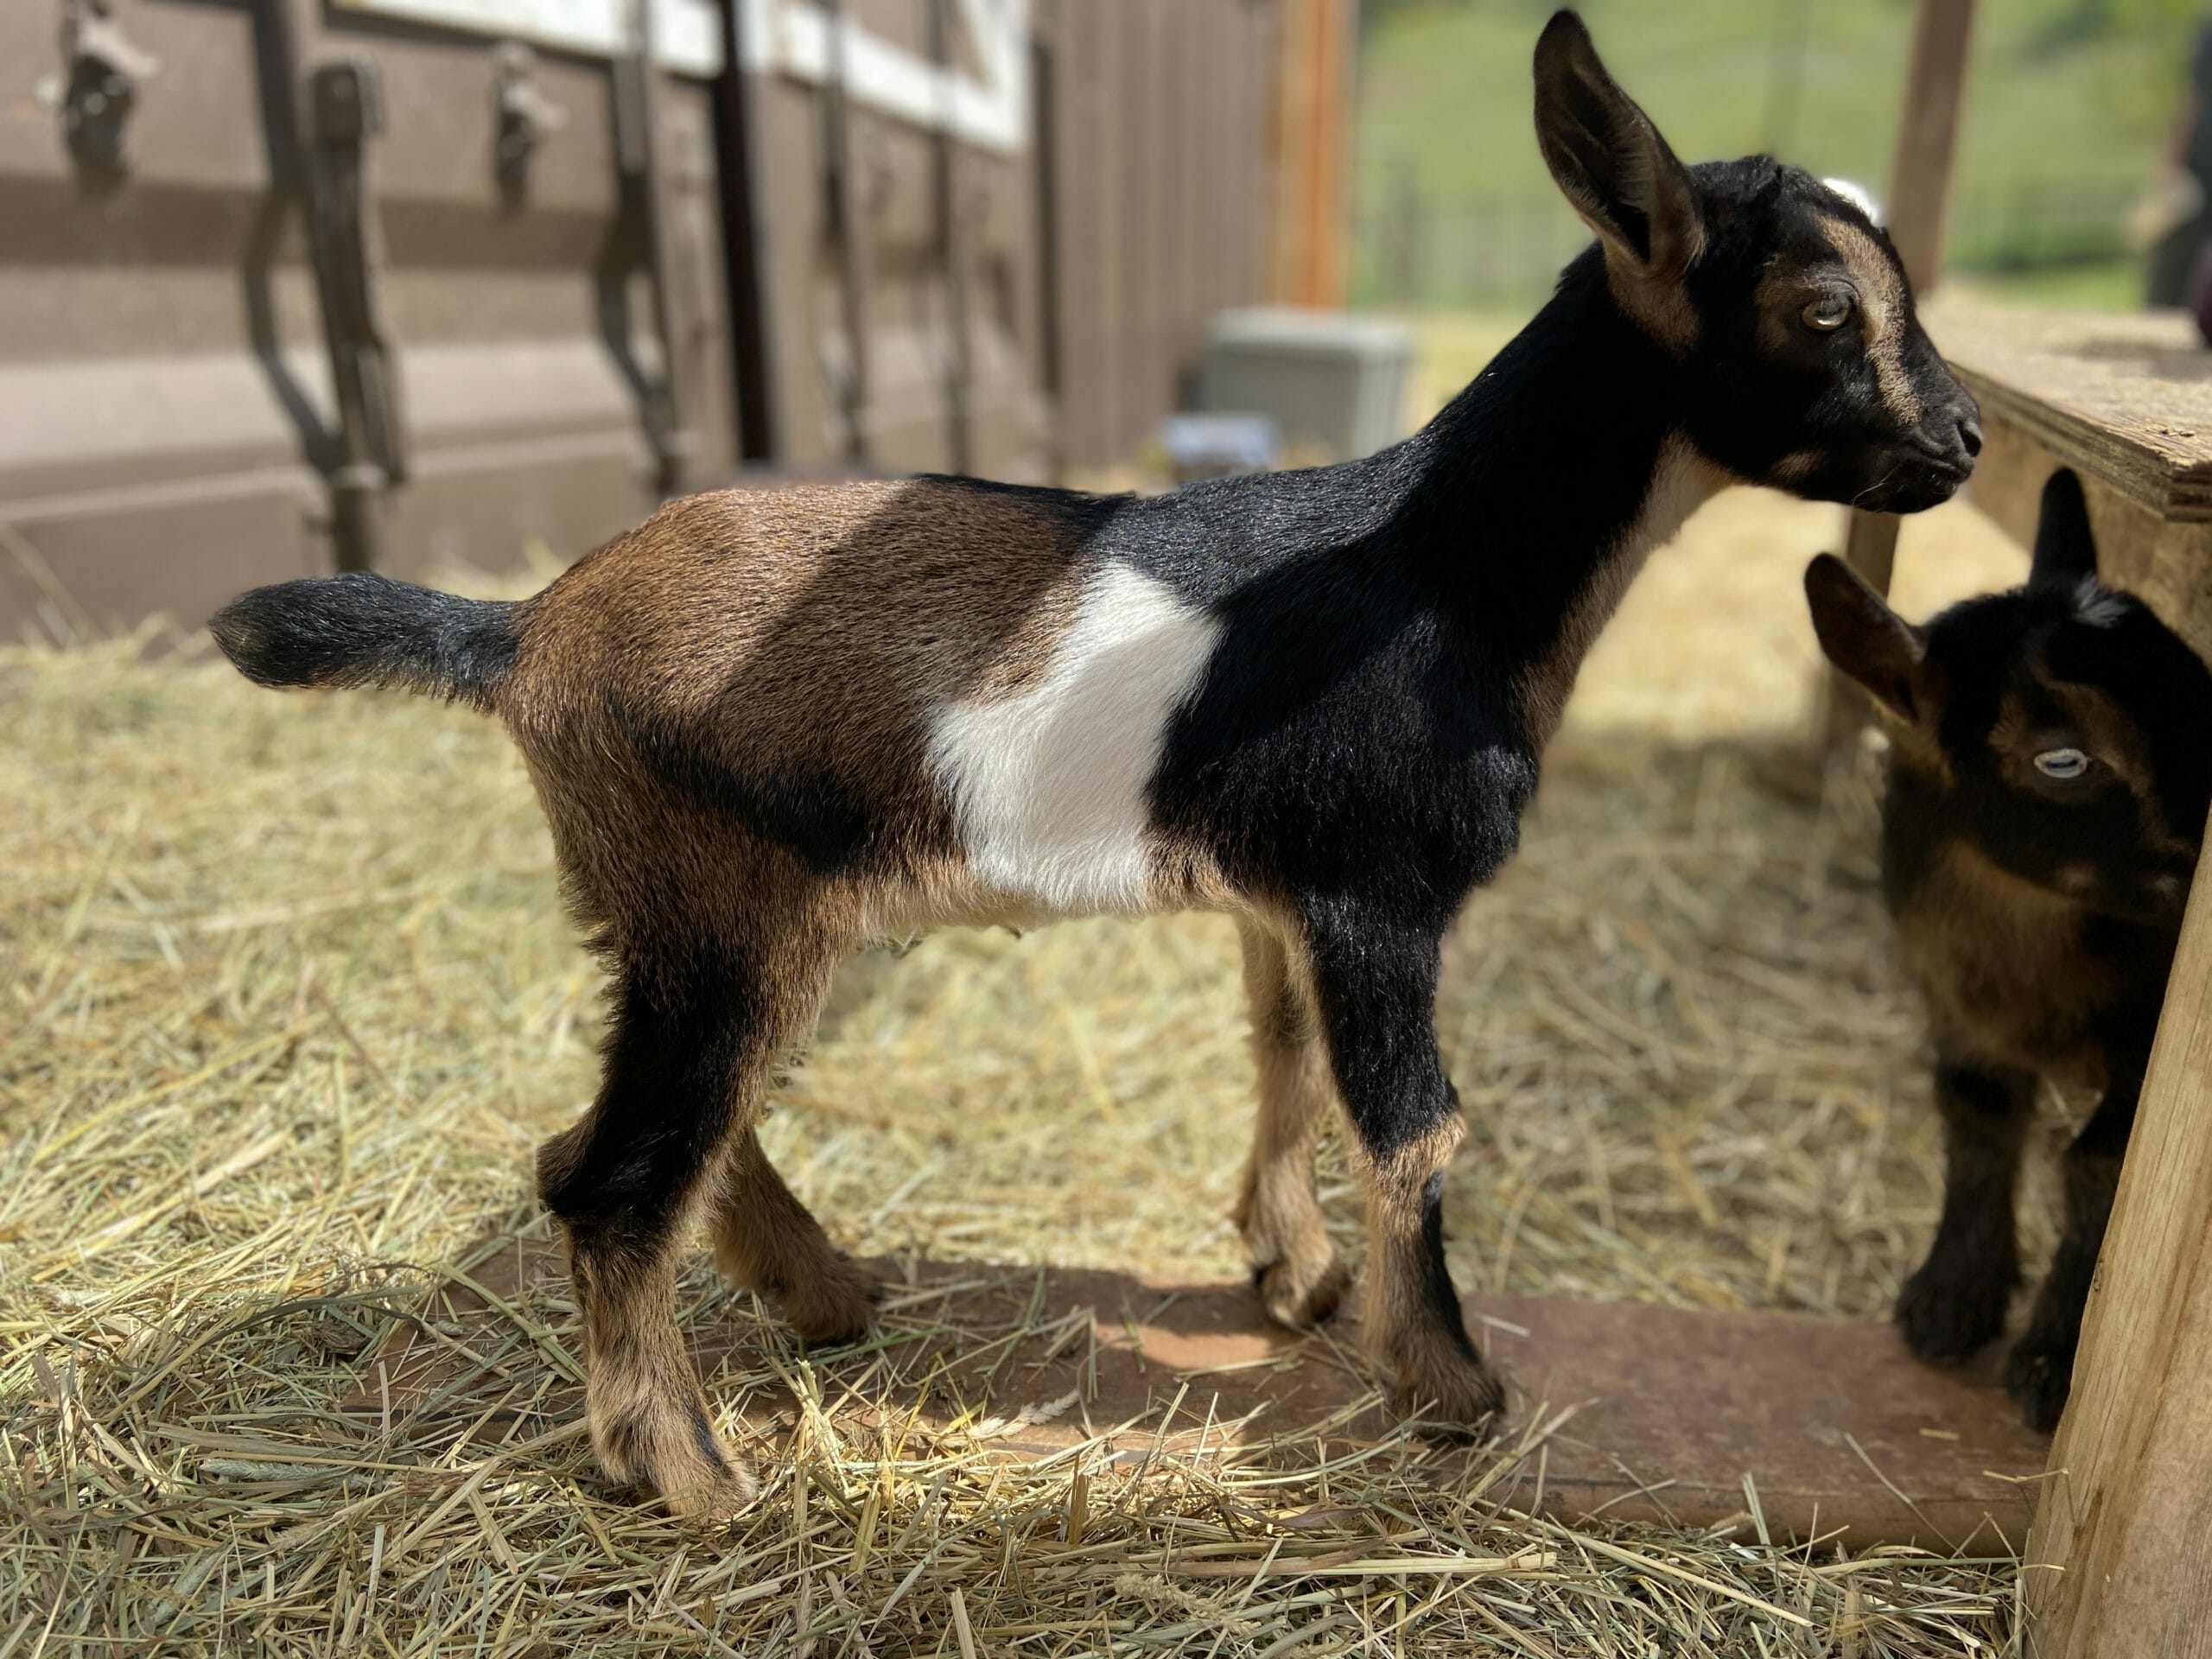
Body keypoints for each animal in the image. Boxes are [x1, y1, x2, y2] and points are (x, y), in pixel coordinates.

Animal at [209, 12, 1980, 1520]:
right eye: (1826, 310)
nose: (1962, 443)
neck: (1447, 567)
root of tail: (526, 630)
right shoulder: (1381, 889)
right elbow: (1413, 1125)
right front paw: (1449, 1386)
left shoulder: (1285, 892)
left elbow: (1281, 1061)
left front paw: (1293, 1275)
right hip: (717, 904)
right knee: (613, 1176)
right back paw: (694, 1474)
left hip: (693, 913)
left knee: (658, 1136)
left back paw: (823, 1300)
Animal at [1806, 469, 2212, 1430]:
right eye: (2063, 760)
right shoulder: (1955, 1006)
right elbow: (1974, 1117)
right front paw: (1949, 1298)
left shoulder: (2146, 1037)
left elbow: (2100, 1163)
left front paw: (2055, 1359)